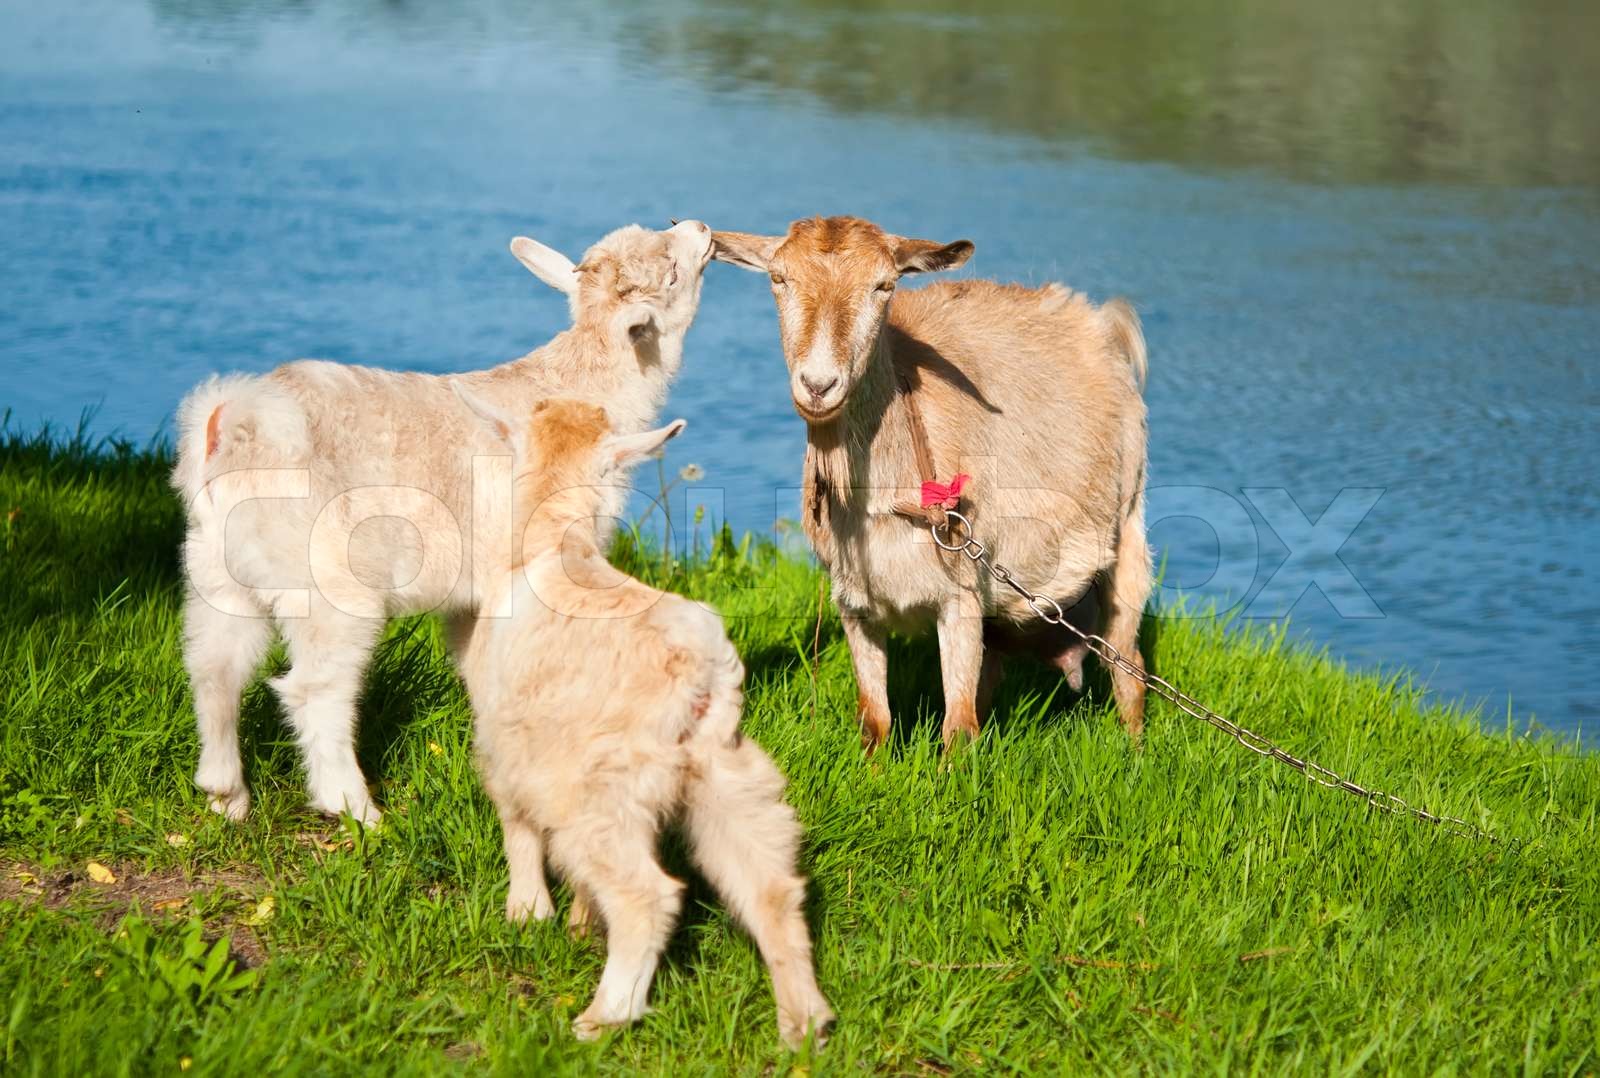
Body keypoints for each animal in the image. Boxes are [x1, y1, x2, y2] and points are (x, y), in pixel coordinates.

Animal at [169, 221, 714, 852]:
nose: (699, 227)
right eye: (670, 274)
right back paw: (357, 809)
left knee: (214, 667)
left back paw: (225, 795)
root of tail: (234, 426)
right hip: (328, 586)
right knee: (314, 689)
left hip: (217, 574)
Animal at [451, 391, 834, 1048]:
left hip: (602, 790)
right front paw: (580, 924)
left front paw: (528, 913)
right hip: (727, 772)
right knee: (771, 886)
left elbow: (517, 827)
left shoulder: (506, 743)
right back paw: (804, 1023)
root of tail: (696, 668)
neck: (555, 542)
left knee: (647, 895)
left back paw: (602, 1017)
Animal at [711, 215, 1150, 749]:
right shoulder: (853, 601)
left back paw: (1134, 750)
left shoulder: (960, 594)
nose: (818, 385)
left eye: (884, 286)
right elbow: (875, 719)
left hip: (1128, 523)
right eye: (779, 279)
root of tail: (1098, 319)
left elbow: (958, 727)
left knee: (1128, 664)